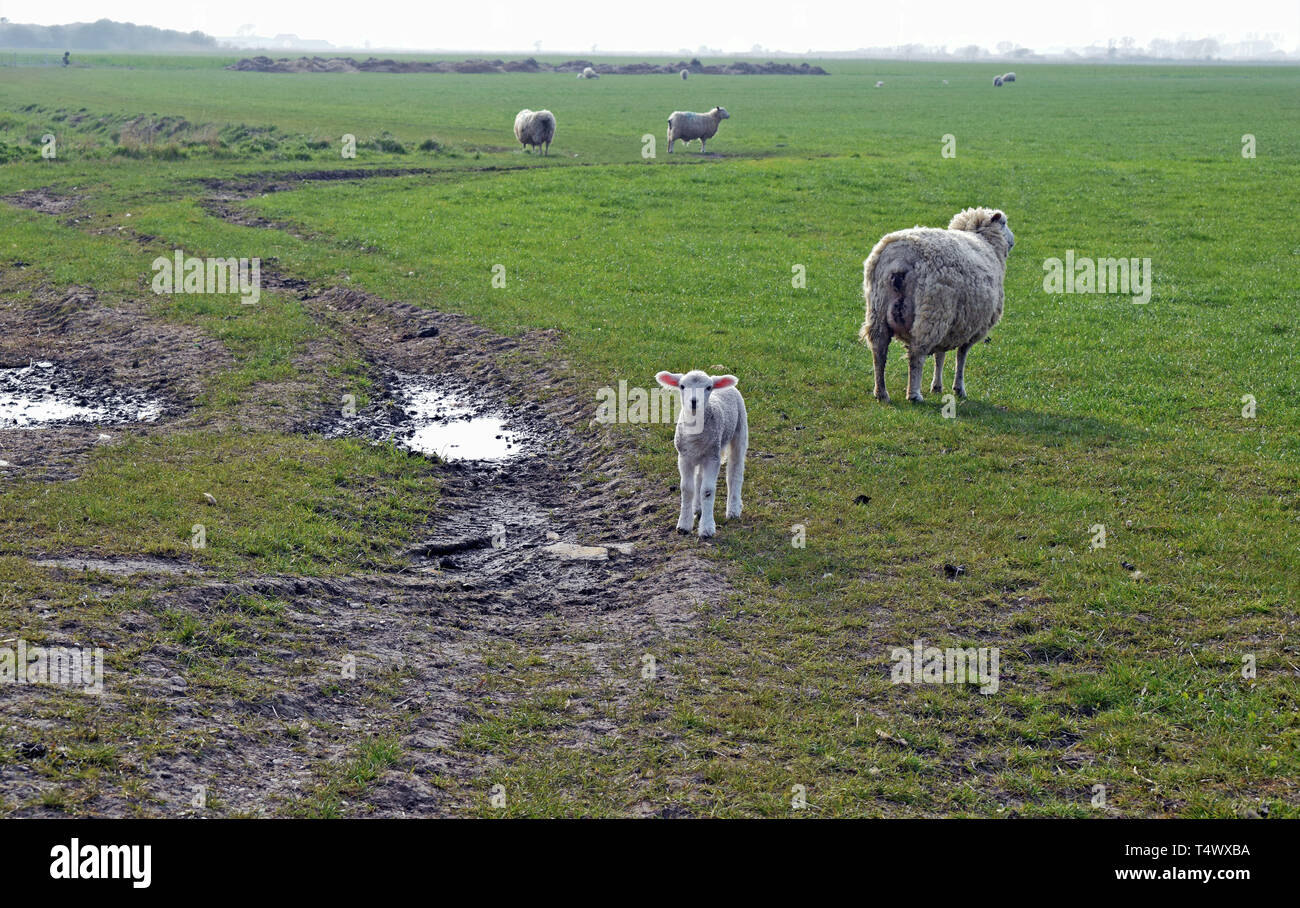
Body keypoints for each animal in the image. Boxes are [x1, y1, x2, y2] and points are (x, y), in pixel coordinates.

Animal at [654, 370, 748, 538]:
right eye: (682, 386)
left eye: (708, 387)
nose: (693, 401)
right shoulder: (684, 457)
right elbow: (687, 489)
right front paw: (684, 525)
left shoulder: (713, 458)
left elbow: (708, 491)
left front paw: (707, 528)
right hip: (699, 454)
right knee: (699, 477)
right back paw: (697, 507)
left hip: (740, 430)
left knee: (735, 472)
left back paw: (733, 509)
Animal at [858, 207, 1015, 403]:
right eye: (1004, 223)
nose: (1013, 241)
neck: (985, 241)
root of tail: (899, 263)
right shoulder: (971, 327)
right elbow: (961, 357)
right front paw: (959, 389)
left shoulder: (951, 325)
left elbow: (940, 355)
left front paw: (937, 386)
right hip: (932, 312)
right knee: (916, 355)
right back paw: (914, 394)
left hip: (878, 310)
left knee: (879, 351)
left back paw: (881, 393)